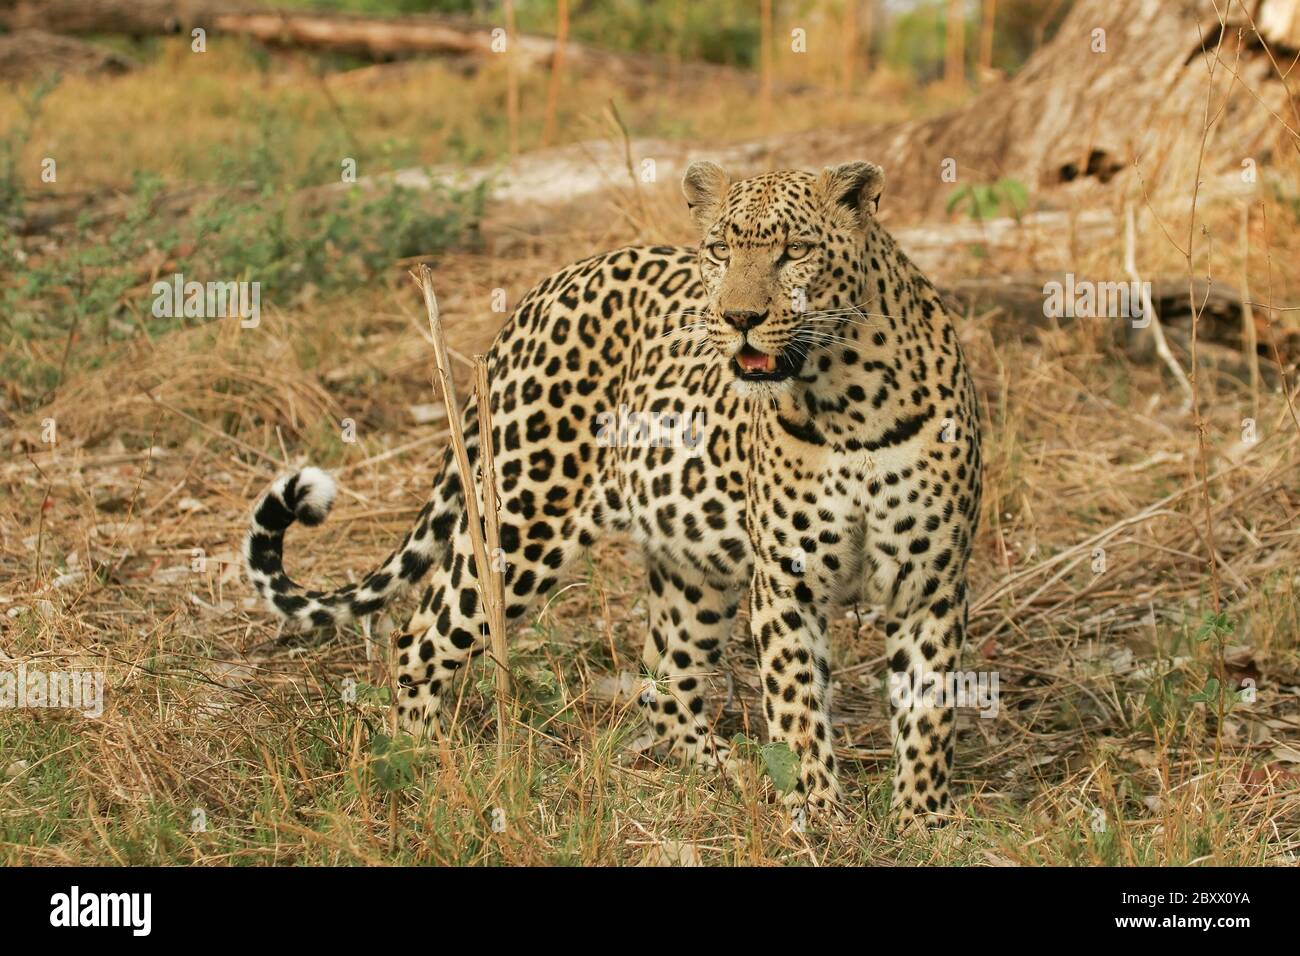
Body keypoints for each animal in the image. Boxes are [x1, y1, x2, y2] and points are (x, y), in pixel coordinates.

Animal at [243, 160, 982, 826]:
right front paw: (818, 812)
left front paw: (922, 821)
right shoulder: (786, 580)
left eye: (794, 250)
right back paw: (423, 762)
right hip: (522, 520)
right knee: (419, 636)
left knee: (666, 682)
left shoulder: (932, 582)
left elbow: (928, 709)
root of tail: (542, 291)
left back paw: (733, 772)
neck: (845, 401)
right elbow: (798, 707)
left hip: (692, 562)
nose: (738, 317)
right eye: (721, 249)